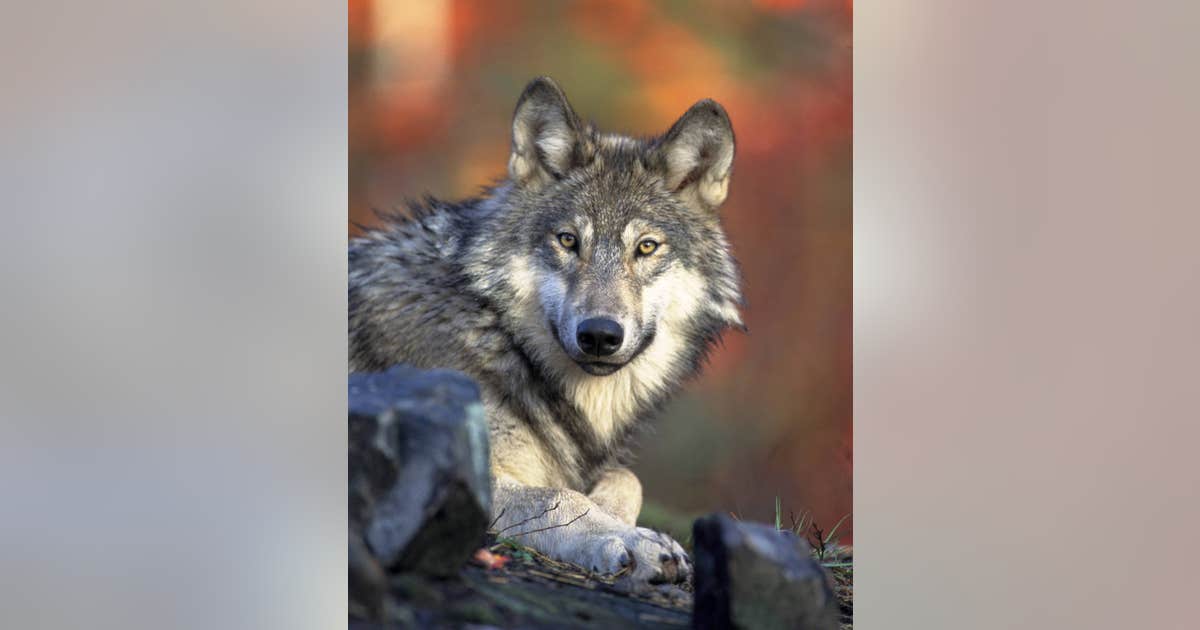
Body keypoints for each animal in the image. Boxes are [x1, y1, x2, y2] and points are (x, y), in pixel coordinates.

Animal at [349, 77, 743, 587]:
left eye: (646, 247)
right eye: (568, 241)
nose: (600, 335)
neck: (498, 335)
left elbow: (626, 479)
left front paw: (618, 520)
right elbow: (560, 497)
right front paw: (632, 541)